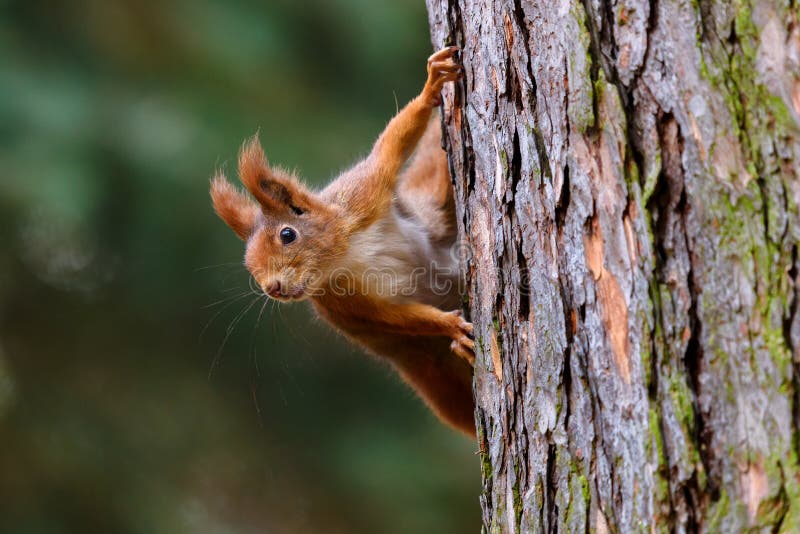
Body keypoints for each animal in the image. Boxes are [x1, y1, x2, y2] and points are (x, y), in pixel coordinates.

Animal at [210, 46, 475, 436]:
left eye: (287, 234)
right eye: (248, 265)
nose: (272, 288)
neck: (345, 256)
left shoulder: (362, 196)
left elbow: (390, 147)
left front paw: (431, 87)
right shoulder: (344, 304)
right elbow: (397, 317)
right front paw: (449, 325)